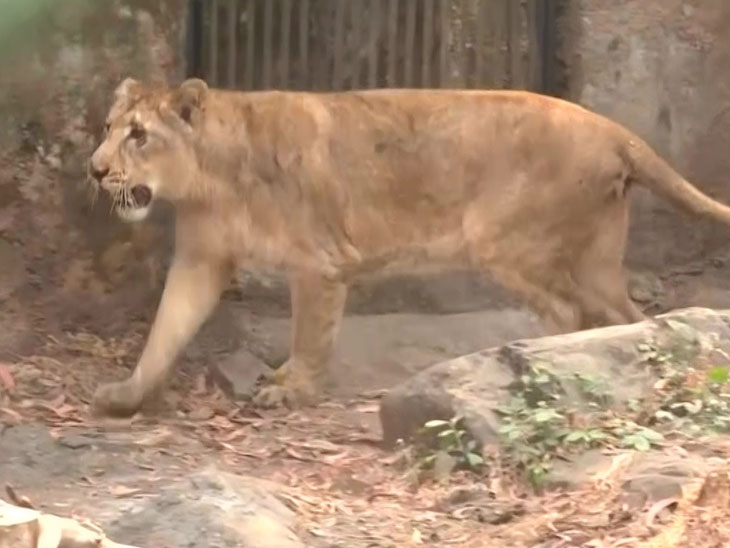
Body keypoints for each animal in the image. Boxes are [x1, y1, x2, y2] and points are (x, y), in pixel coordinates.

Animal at [87, 77, 730, 417]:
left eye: (138, 135)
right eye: (108, 127)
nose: (94, 170)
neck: (208, 181)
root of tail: (612, 129)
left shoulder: (319, 263)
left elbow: (309, 334)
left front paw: (293, 388)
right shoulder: (200, 259)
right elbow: (165, 329)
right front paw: (125, 395)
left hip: (505, 243)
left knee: (570, 311)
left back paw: (535, 367)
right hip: (594, 258)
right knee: (624, 317)